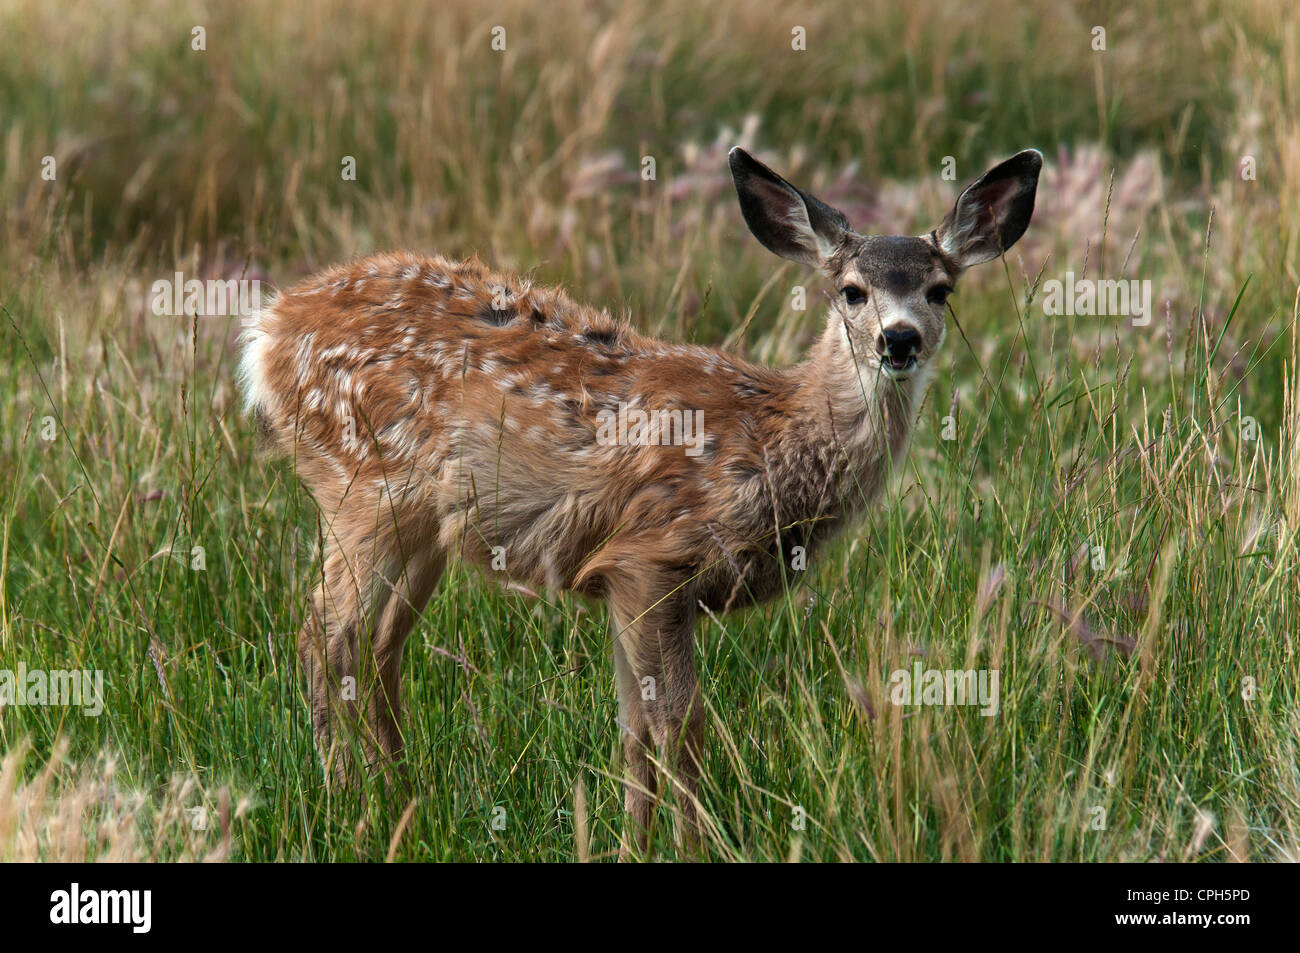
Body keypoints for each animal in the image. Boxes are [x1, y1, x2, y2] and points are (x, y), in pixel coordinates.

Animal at [238, 146, 1041, 859]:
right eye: (851, 289)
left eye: (940, 290)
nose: (898, 339)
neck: (773, 435)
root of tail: (268, 331)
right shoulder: (654, 560)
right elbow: (679, 726)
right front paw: (695, 846)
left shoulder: (625, 583)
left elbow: (633, 732)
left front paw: (633, 845)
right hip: (361, 488)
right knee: (325, 633)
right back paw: (348, 802)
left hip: (422, 525)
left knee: (381, 644)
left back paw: (403, 793)